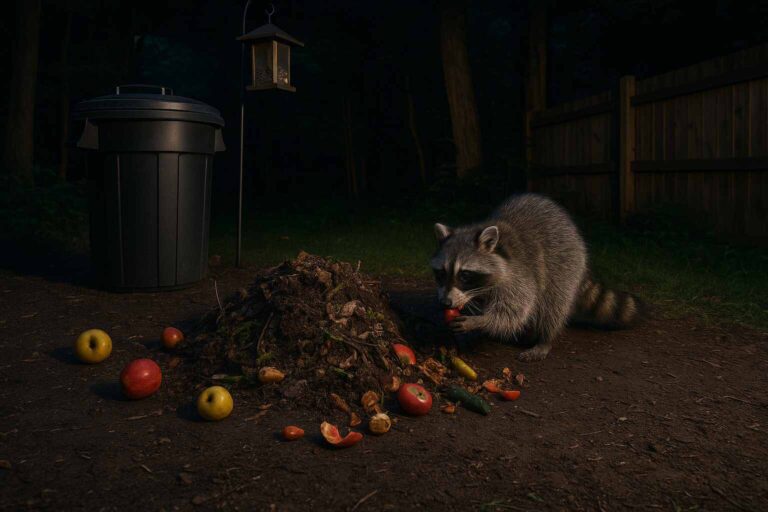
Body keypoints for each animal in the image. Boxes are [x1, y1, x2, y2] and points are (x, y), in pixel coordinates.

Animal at [430, 193, 639, 361]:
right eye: (441, 273)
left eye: (465, 275)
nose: (445, 303)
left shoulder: (519, 275)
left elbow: (515, 310)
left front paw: (481, 321)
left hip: (566, 264)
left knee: (554, 304)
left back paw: (545, 339)